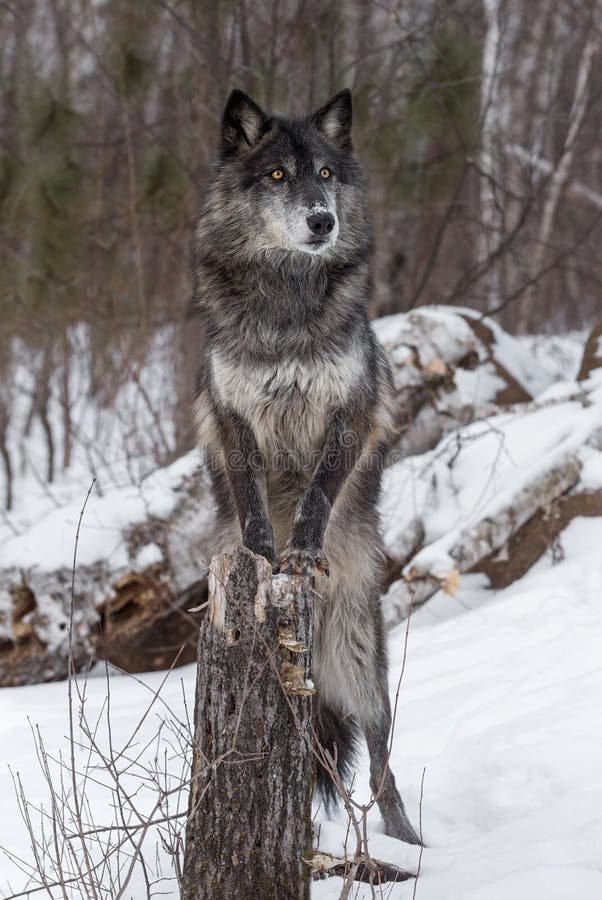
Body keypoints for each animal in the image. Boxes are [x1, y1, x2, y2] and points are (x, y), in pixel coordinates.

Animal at [193, 87, 421, 845]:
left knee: (381, 767)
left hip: (362, 667)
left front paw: (298, 555)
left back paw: (408, 846)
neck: (287, 305)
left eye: (324, 173)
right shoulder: (233, 420)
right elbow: (253, 498)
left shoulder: (350, 412)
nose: (324, 221)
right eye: (276, 176)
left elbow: (319, 493)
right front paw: (267, 557)